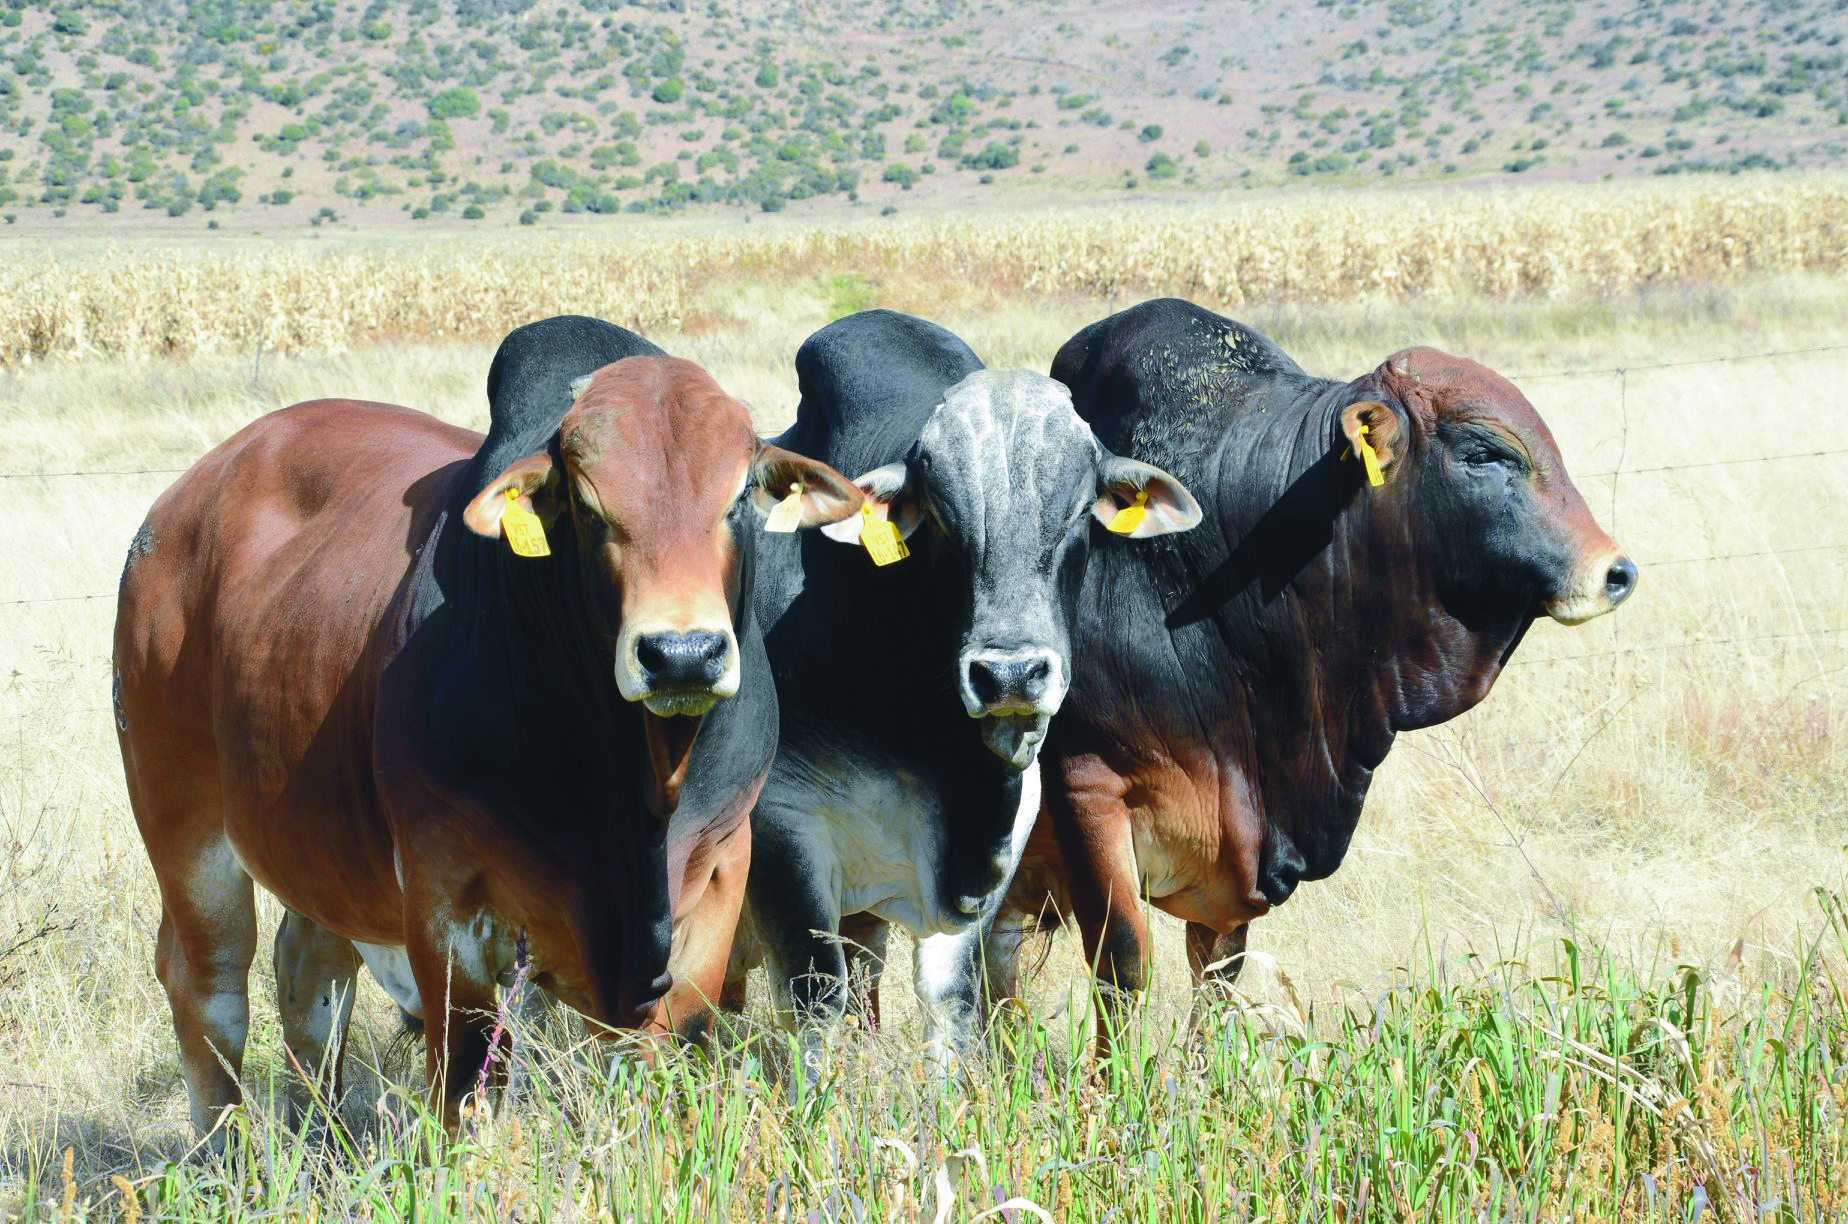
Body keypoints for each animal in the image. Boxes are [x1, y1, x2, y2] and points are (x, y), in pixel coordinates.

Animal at [113, 315, 862, 1133]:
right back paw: (222, 1147)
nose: (681, 657)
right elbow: (468, 1087)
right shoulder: (448, 908)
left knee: (310, 973)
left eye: (736, 502)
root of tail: (177, 505)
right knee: (209, 990)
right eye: (590, 512)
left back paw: (325, 1137)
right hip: (182, 823)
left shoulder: (719, 876)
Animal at [720, 310, 1201, 1069]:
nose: (1009, 675)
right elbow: (815, 999)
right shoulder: (780, 824)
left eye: (1076, 517)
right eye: (943, 522)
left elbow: (951, 1000)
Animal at [985, 297, 1638, 1034]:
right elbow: (1123, 965)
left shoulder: (1244, 853)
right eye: (1482, 451)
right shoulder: (1087, 789)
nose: (1615, 572)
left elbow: (1218, 976)